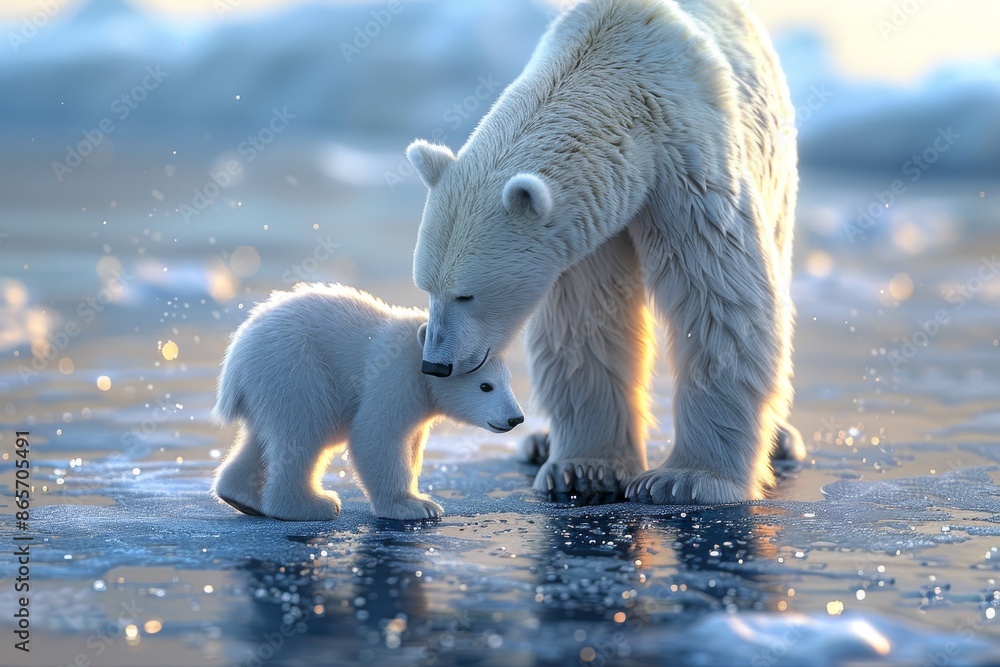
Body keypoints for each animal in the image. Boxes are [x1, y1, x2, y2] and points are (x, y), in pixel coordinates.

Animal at [211, 283, 524, 521]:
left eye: (508, 381)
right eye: (486, 386)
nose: (515, 418)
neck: (421, 354)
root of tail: (234, 360)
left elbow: (411, 441)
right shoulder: (394, 375)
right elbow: (376, 434)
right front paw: (415, 506)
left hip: (267, 382)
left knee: (261, 437)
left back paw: (241, 497)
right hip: (296, 366)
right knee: (305, 430)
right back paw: (312, 505)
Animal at [405, 0, 805, 506]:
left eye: (466, 294)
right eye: (426, 286)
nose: (435, 364)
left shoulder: (689, 169)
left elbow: (717, 302)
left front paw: (685, 480)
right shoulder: (592, 225)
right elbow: (587, 322)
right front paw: (585, 472)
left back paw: (783, 438)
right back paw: (540, 441)